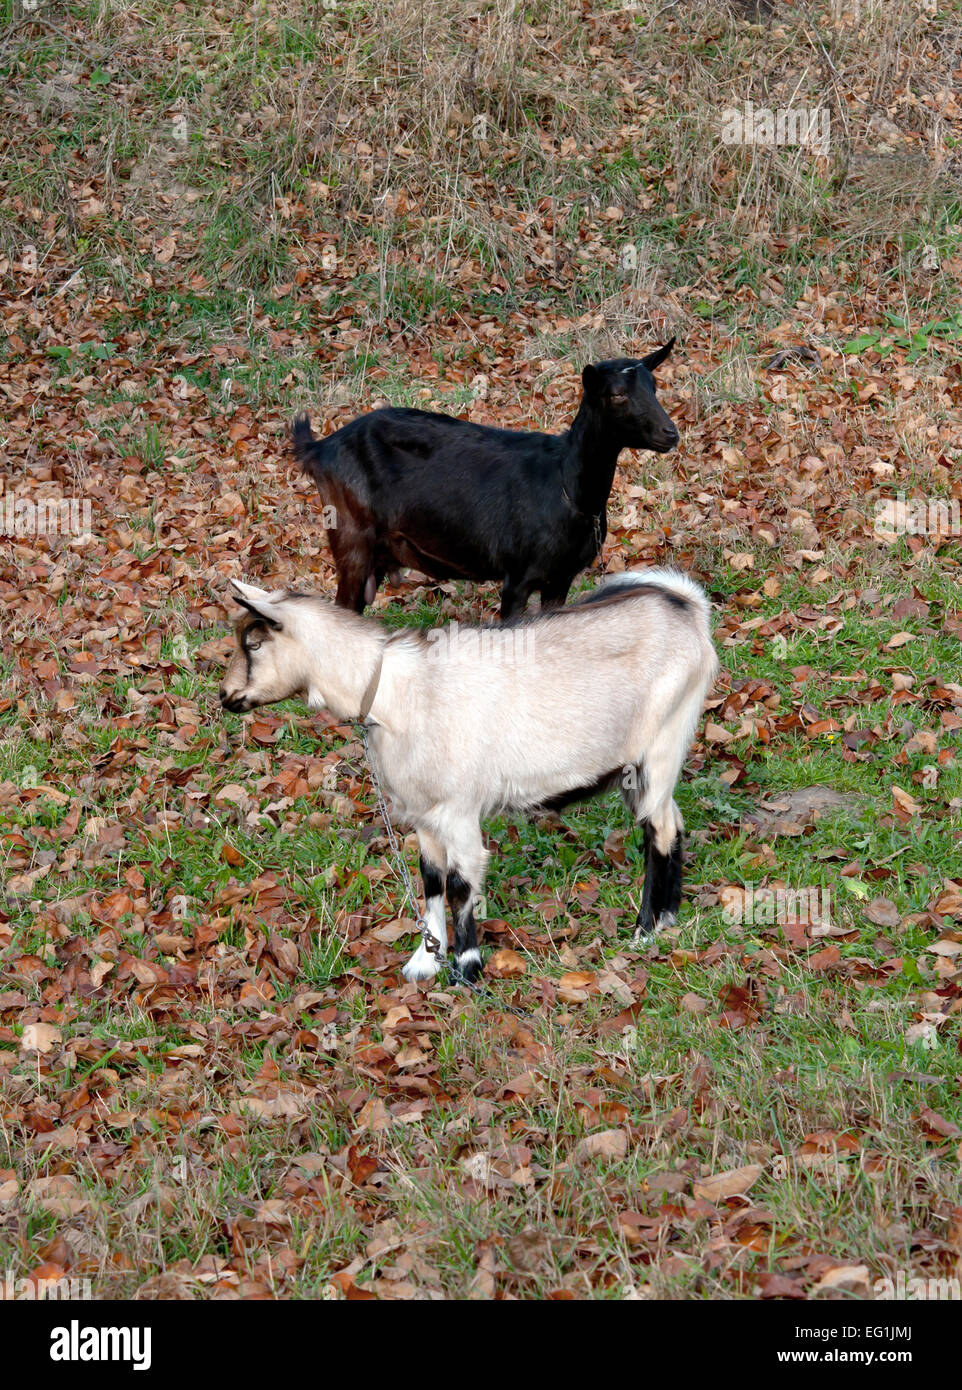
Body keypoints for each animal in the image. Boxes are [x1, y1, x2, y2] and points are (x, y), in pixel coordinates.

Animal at [219, 567, 717, 987]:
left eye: (255, 644)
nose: (225, 696)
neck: (393, 692)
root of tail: (685, 604)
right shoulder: (423, 815)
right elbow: (431, 881)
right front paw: (424, 962)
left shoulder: (458, 809)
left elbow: (461, 884)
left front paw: (466, 968)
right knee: (671, 822)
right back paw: (668, 918)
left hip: (661, 744)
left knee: (658, 829)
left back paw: (645, 930)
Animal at [292, 340, 678, 621]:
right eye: (617, 393)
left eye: (654, 386)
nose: (670, 433)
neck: (567, 487)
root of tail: (320, 448)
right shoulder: (518, 575)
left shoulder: (561, 578)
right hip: (350, 537)